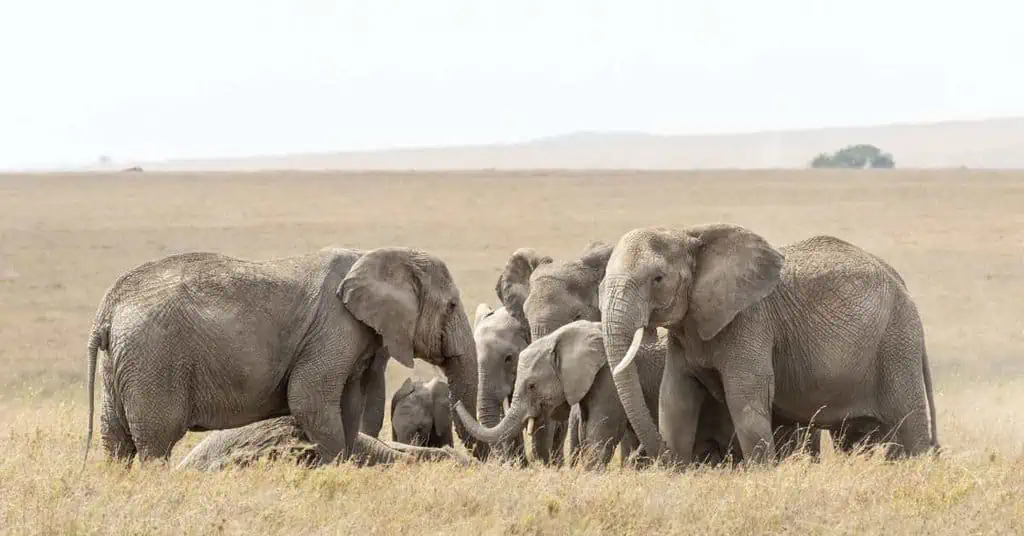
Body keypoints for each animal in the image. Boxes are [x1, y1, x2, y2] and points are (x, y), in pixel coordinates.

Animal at [83, 246, 486, 467]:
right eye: (452, 306)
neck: (377, 253)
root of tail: (108, 308)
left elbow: (349, 406)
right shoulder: (334, 329)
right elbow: (309, 399)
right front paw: (333, 470)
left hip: (123, 362)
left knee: (115, 439)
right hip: (153, 360)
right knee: (155, 442)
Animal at [599, 224, 940, 466]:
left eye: (657, 279)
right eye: (601, 283)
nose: (660, 457)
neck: (687, 234)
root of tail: (900, 283)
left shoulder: (751, 321)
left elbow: (745, 399)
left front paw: (761, 475)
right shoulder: (686, 331)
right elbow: (675, 399)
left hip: (896, 344)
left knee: (909, 427)